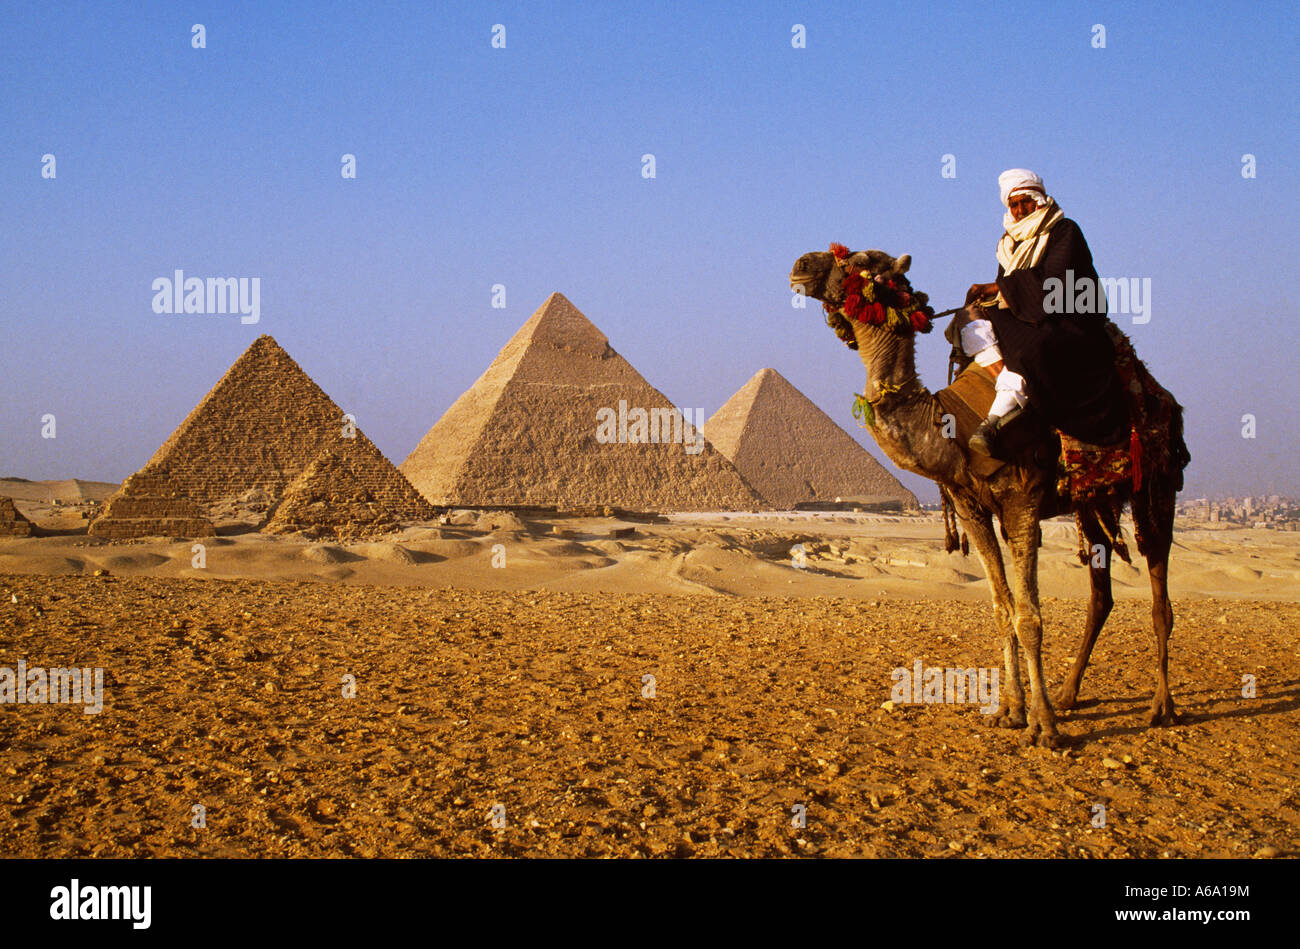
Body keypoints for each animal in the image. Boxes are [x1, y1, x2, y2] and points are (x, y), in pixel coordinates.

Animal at [789, 247, 1190, 747]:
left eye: (858, 259)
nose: (800, 265)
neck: (949, 427)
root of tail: (1162, 394)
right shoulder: (972, 509)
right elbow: (1003, 609)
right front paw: (1011, 711)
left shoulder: (1022, 502)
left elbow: (1029, 616)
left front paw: (1043, 726)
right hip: (1092, 500)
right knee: (1101, 596)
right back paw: (1069, 694)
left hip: (1157, 482)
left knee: (1160, 596)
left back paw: (1161, 706)